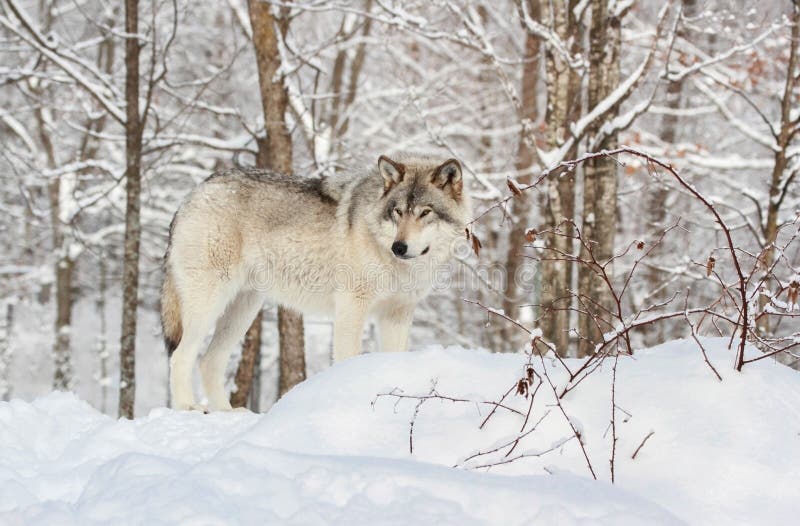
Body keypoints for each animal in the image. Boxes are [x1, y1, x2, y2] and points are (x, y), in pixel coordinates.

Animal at [161, 153, 470, 411]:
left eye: (425, 212)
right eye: (398, 212)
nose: (399, 247)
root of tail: (193, 193)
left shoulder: (397, 315)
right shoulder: (351, 307)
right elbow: (347, 358)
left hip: (242, 312)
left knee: (208, 361)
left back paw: (226, 413)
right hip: (209, 305)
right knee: (180, 356)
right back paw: (187, 408)